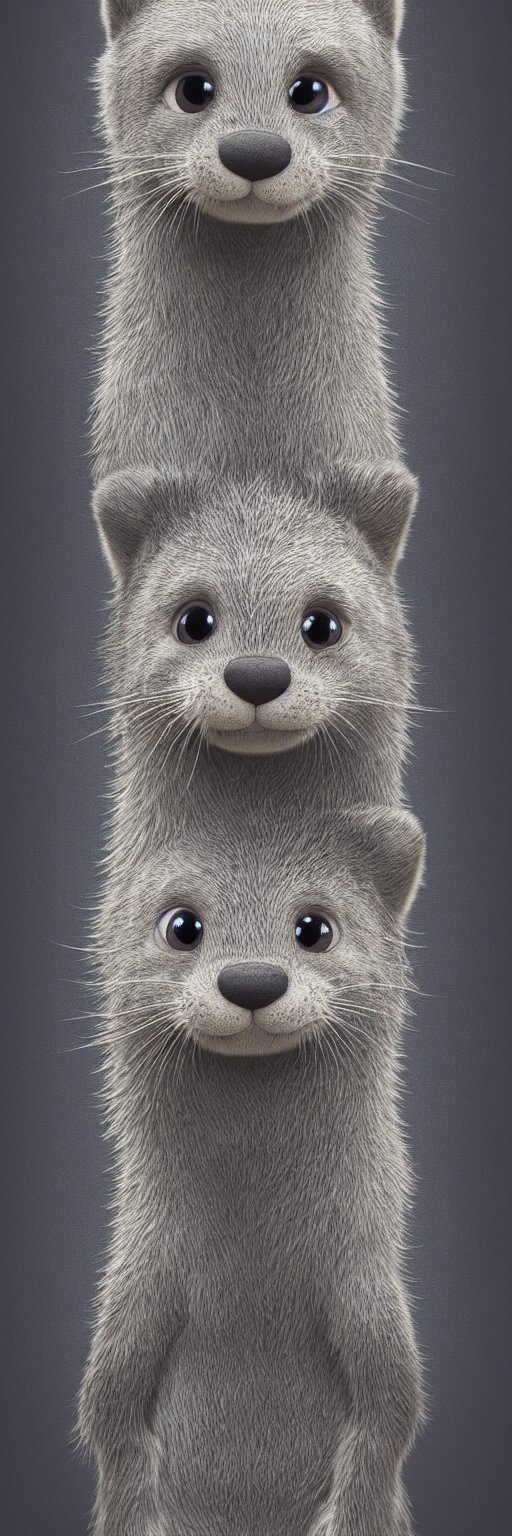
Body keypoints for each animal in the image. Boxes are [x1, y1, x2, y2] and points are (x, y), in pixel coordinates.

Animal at [78, 753, 424, 1534]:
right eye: (182, 925)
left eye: (314, 926)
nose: (252, 978)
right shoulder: (134, 1301)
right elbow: (107, 1414)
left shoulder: (369, 1301)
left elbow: (391, 1416)